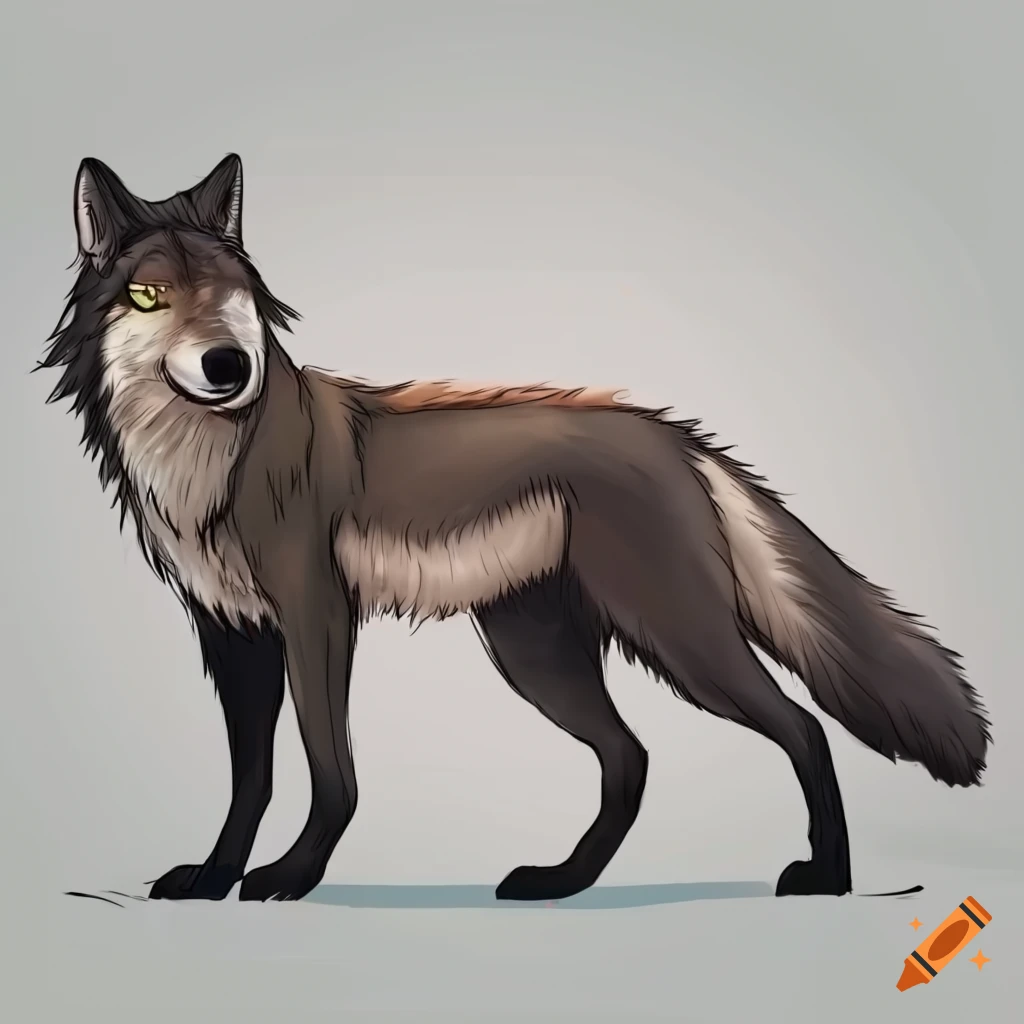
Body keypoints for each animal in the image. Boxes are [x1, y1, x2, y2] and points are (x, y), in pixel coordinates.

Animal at [40, 154, 990, 903]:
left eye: (233, 298)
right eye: (150, 295)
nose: (229, 366)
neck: (206, 466)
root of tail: (675, 436)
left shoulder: (317, 619)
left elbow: (328, 771)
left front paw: (291, 876)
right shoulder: (231, 634)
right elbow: (250, 781)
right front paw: (213, 879)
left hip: (677, 643)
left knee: (803, 730)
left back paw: (826, 876)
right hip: (538, 656)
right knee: (631, 758)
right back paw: (563, 882)